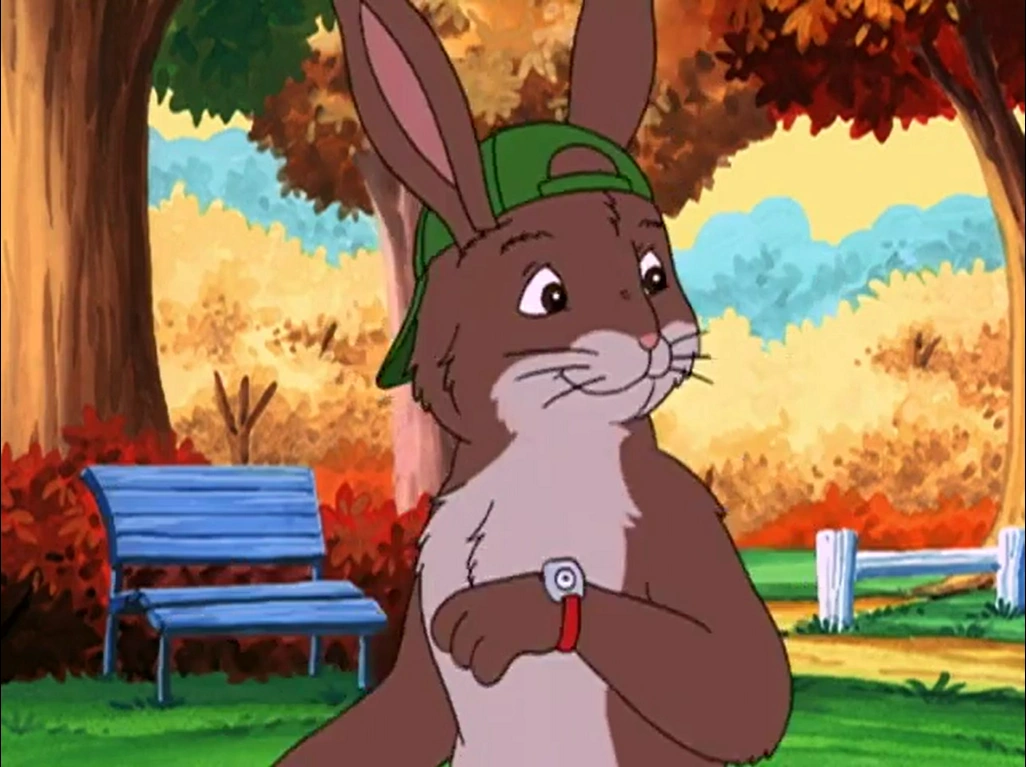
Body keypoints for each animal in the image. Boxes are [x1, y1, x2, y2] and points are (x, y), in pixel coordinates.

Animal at [275, 1, 793, 766]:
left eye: (653, 275)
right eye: (549, 294)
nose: (650, 338)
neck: (541, 463)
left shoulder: (679, 520)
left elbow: (743, 685)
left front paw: (507, 613)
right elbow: (411, 710)